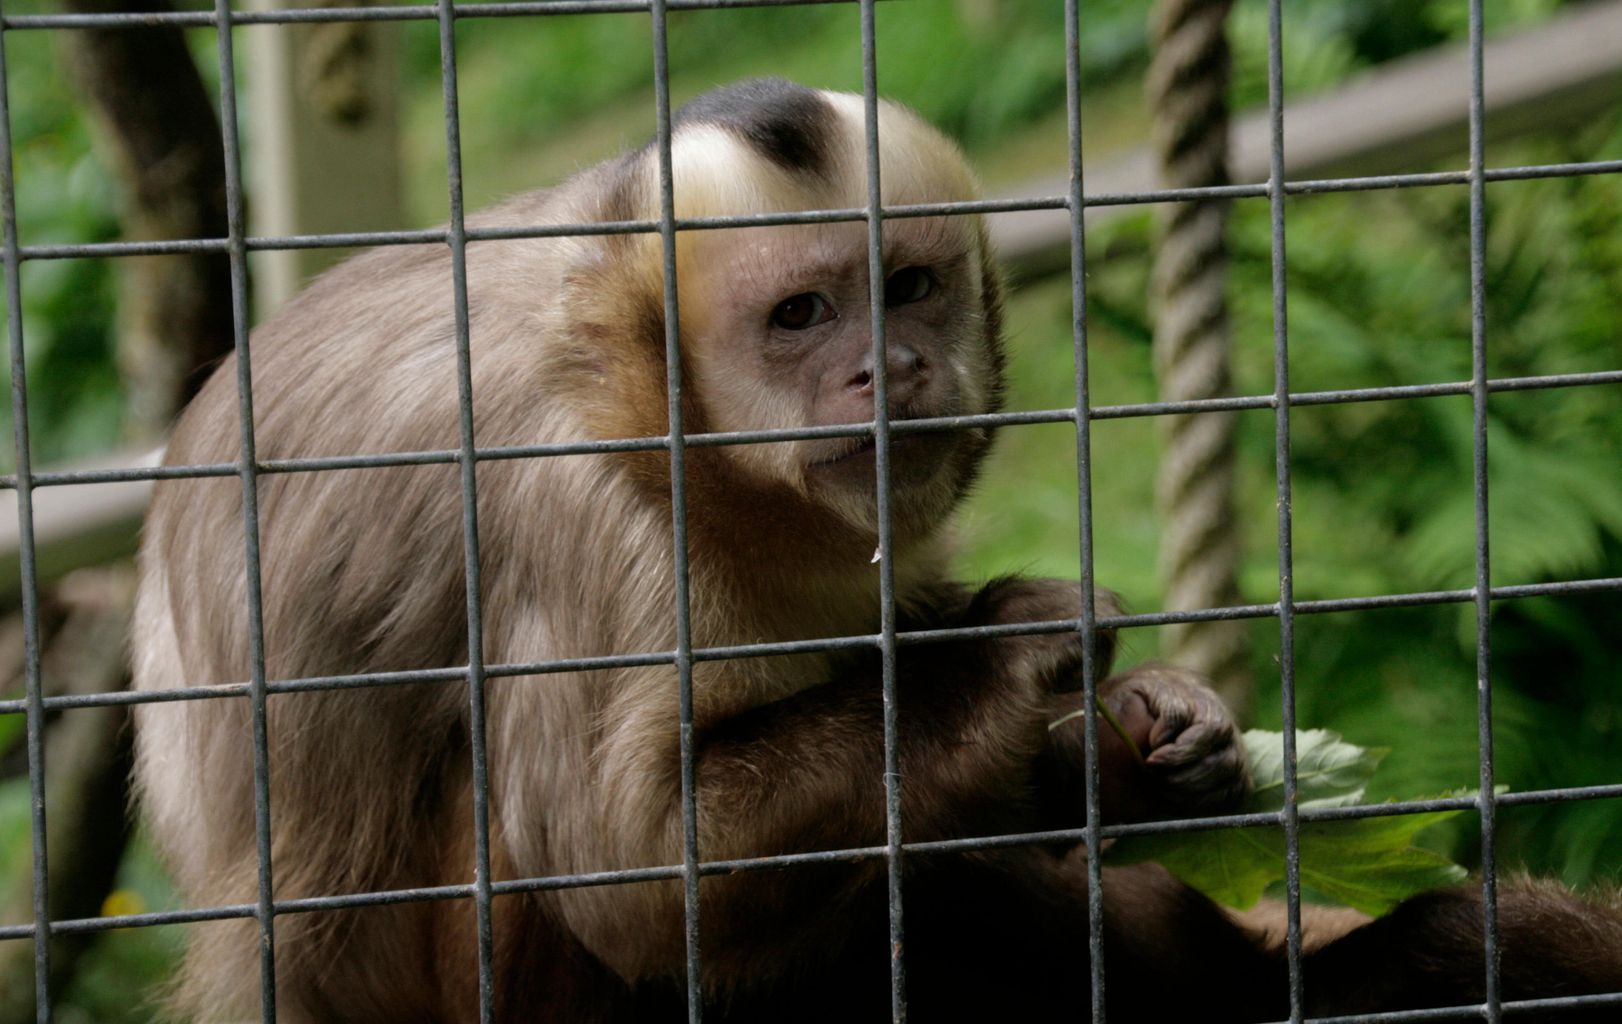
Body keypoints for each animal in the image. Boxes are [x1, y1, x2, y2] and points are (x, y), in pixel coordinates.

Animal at [130, 78, 1622, 1022]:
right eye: (800, 314)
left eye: (904, 289)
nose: (883, 368)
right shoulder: (567, 492)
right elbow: (629, 871)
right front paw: (1021, 663)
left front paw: (1140, 737)